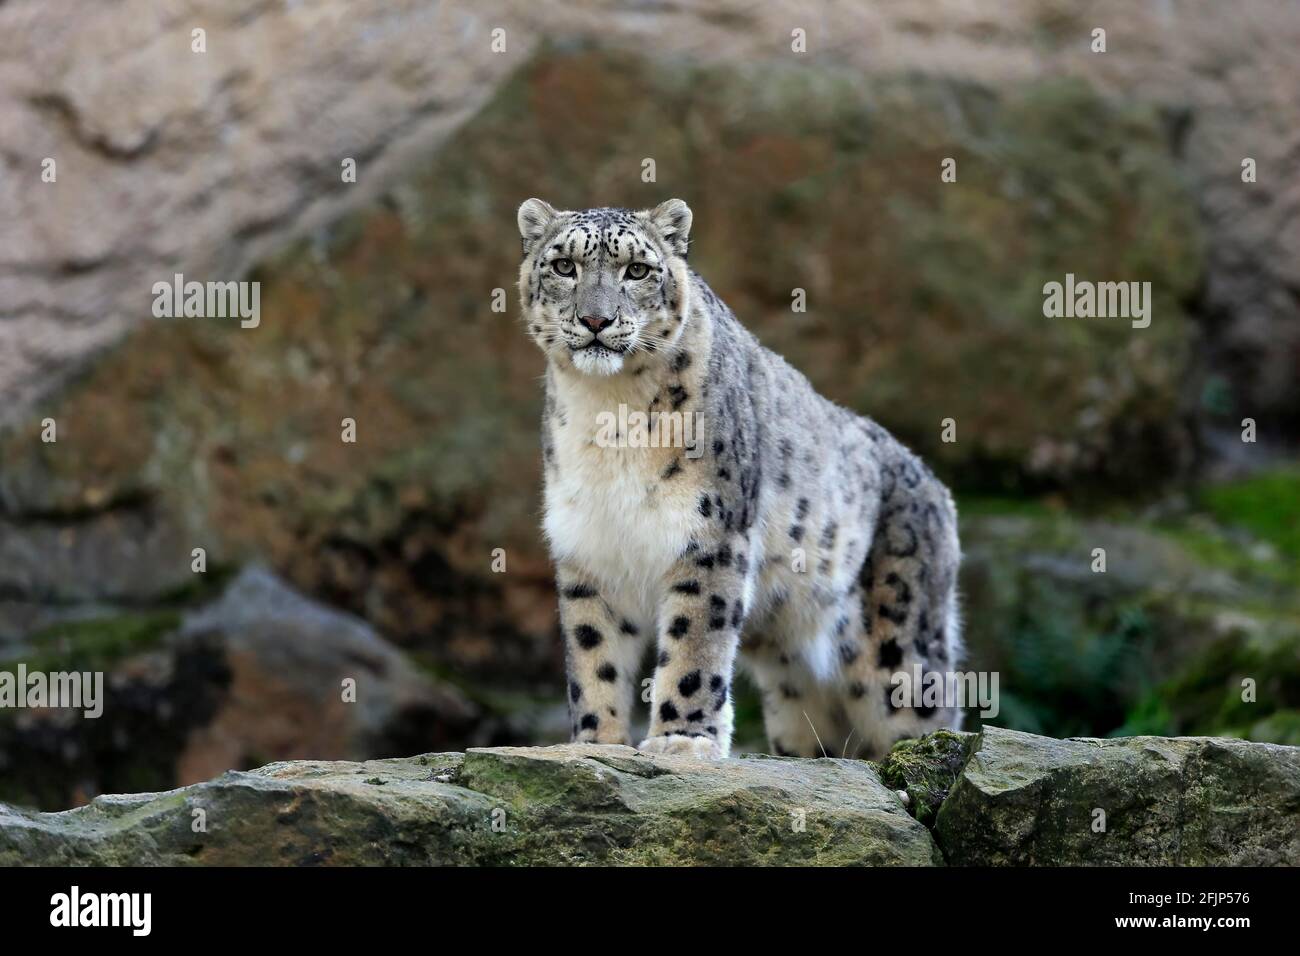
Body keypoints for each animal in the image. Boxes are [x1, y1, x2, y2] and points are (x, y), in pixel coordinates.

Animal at [517, 197, 963, 760]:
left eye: (637, 269)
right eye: (563, 266)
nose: (596, 319)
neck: (609, 414)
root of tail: (938, 491)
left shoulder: (711, 535)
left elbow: (694, 645)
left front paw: (681, 740)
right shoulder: (589, 546)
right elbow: (593, 653)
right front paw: (596, 742)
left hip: (898, 651)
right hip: (796, 685)